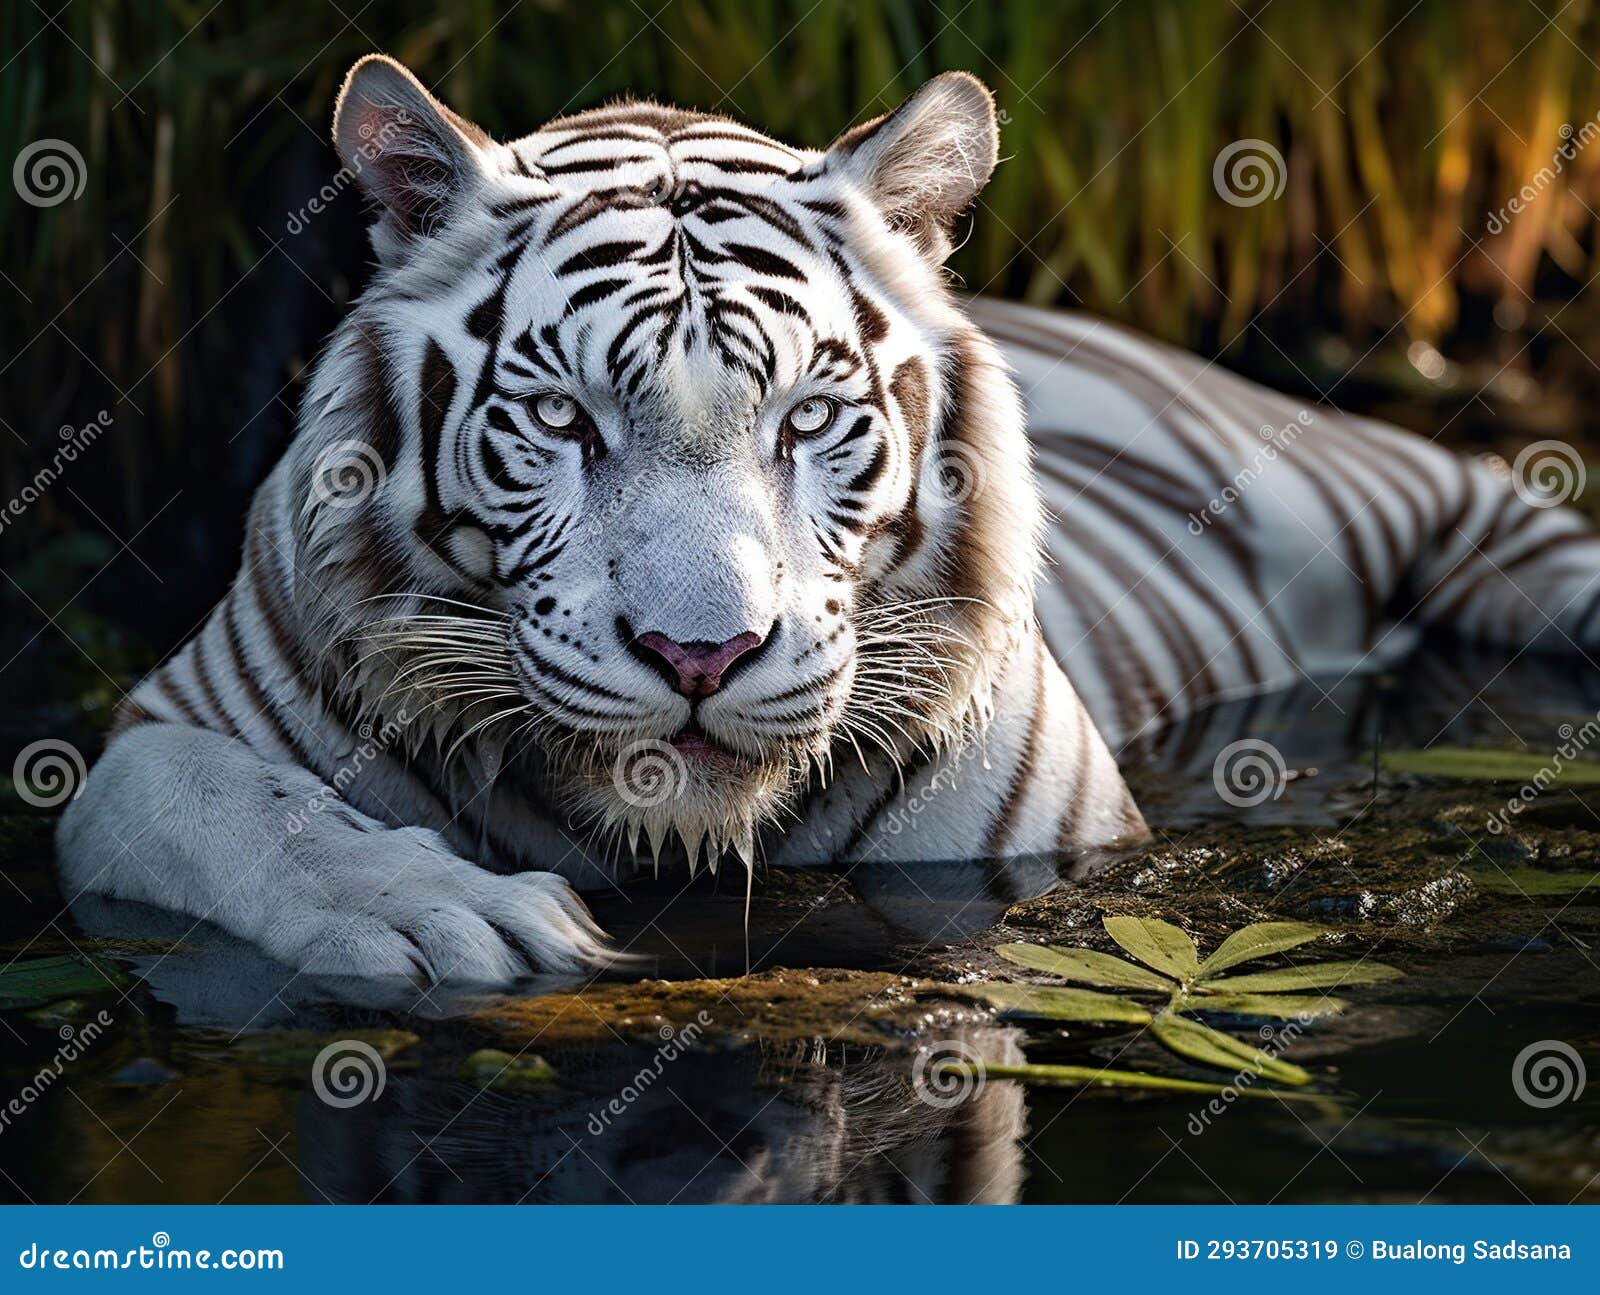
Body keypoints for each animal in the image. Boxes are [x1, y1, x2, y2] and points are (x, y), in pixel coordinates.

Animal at [57, 55, 1600, 984]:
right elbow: (237, 807)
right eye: (560, 418)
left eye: (806, 418)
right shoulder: (155, 736)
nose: (701, 655)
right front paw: (431, 913)